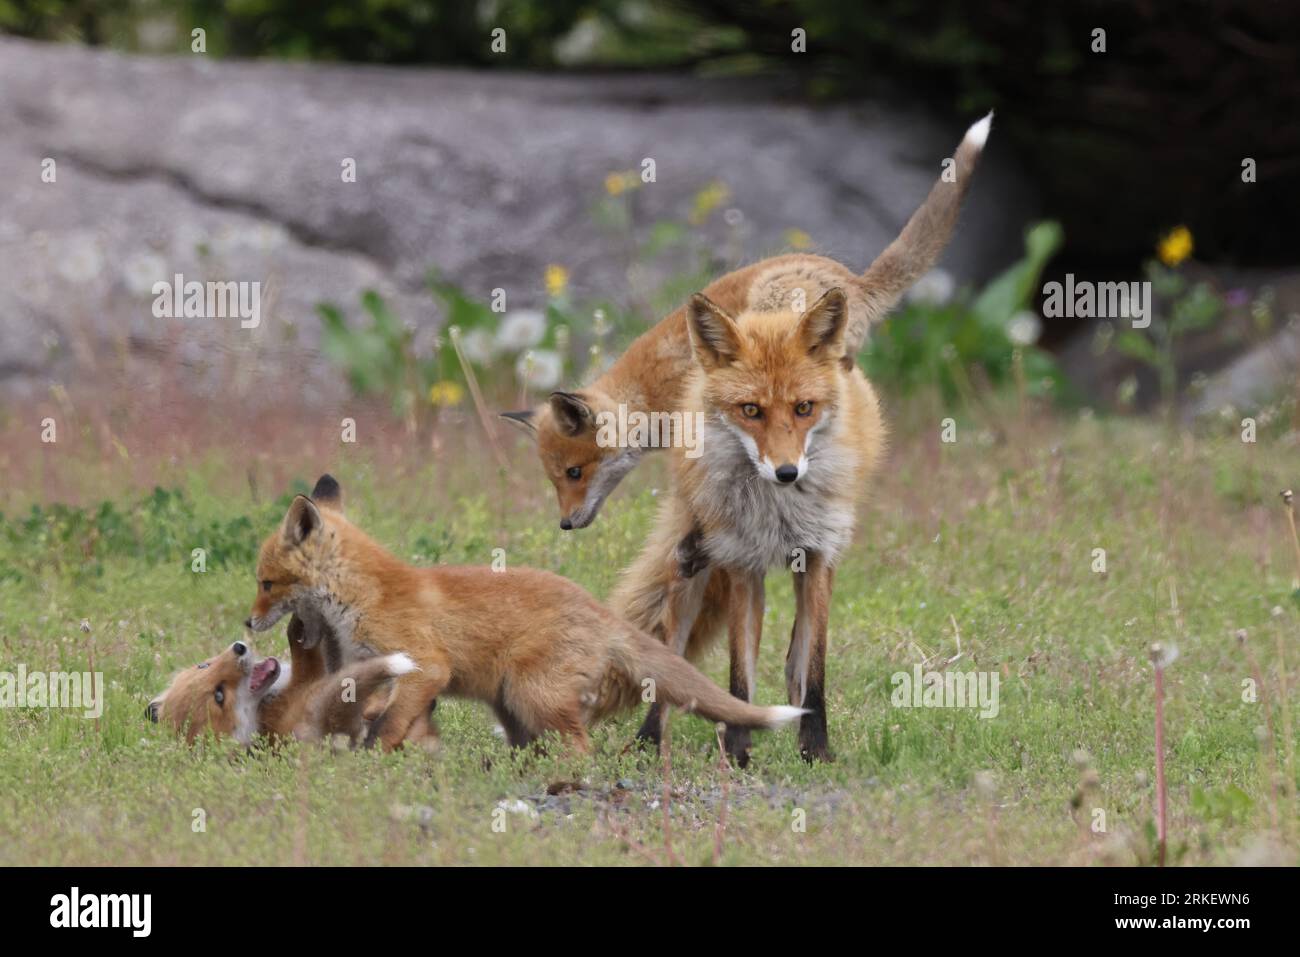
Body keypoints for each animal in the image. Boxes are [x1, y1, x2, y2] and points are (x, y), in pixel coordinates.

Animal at [245, 474, 806, 752]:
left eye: (265, 583)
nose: (247, 624)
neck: (364, 598)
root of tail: (598, 609)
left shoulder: (426, 665)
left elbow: (388, 727)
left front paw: (375, 762)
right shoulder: (367, 671)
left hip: (531, 695)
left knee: (581, 747)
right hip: (511, 705)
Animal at [610, 115, 994, 768]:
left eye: (804, 408)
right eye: (750, 411)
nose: (786, 472)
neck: (778, 510)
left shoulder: (819, 557)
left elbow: (812, 668)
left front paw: (815, 748)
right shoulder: (741, 565)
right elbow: (738, 674)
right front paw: (739, 752)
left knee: (789, 658)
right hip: (704, 570)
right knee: (675, 648)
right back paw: (649, 740)